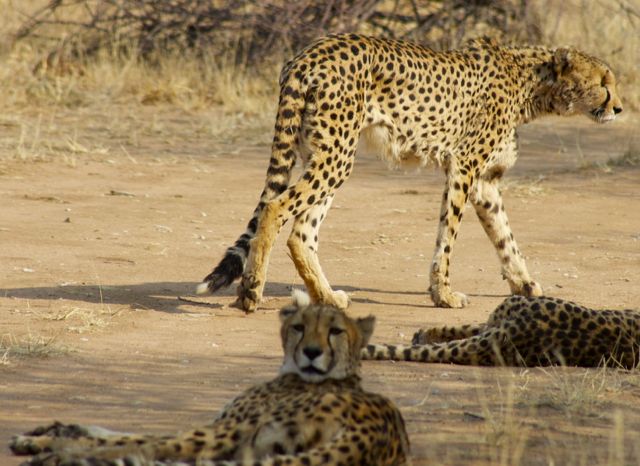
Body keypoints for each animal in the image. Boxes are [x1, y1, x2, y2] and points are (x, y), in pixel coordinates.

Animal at [10, 290, 410, 466]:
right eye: (299, 326)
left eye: (335, 331)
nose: (312, 352)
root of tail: (379, 431)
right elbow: (112, 430)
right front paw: (52, 429)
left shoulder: (227, 427)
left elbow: (134, 437)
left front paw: (46, 439)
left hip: (234, 434)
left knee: (153, 450)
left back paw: (57, 456)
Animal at [197, 33, 623, 311]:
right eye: (603, 83)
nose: (618, 108)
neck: (531, 81)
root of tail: (307, 54)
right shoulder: (463, 167)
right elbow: (448, 237)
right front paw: (444, 295)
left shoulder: (485, 182)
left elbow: (506, 237)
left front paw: (525, 284)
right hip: (336, 155)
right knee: (275, 209)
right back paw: (251, 292)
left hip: (321, 153)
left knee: (301, 231)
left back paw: (327, 297)